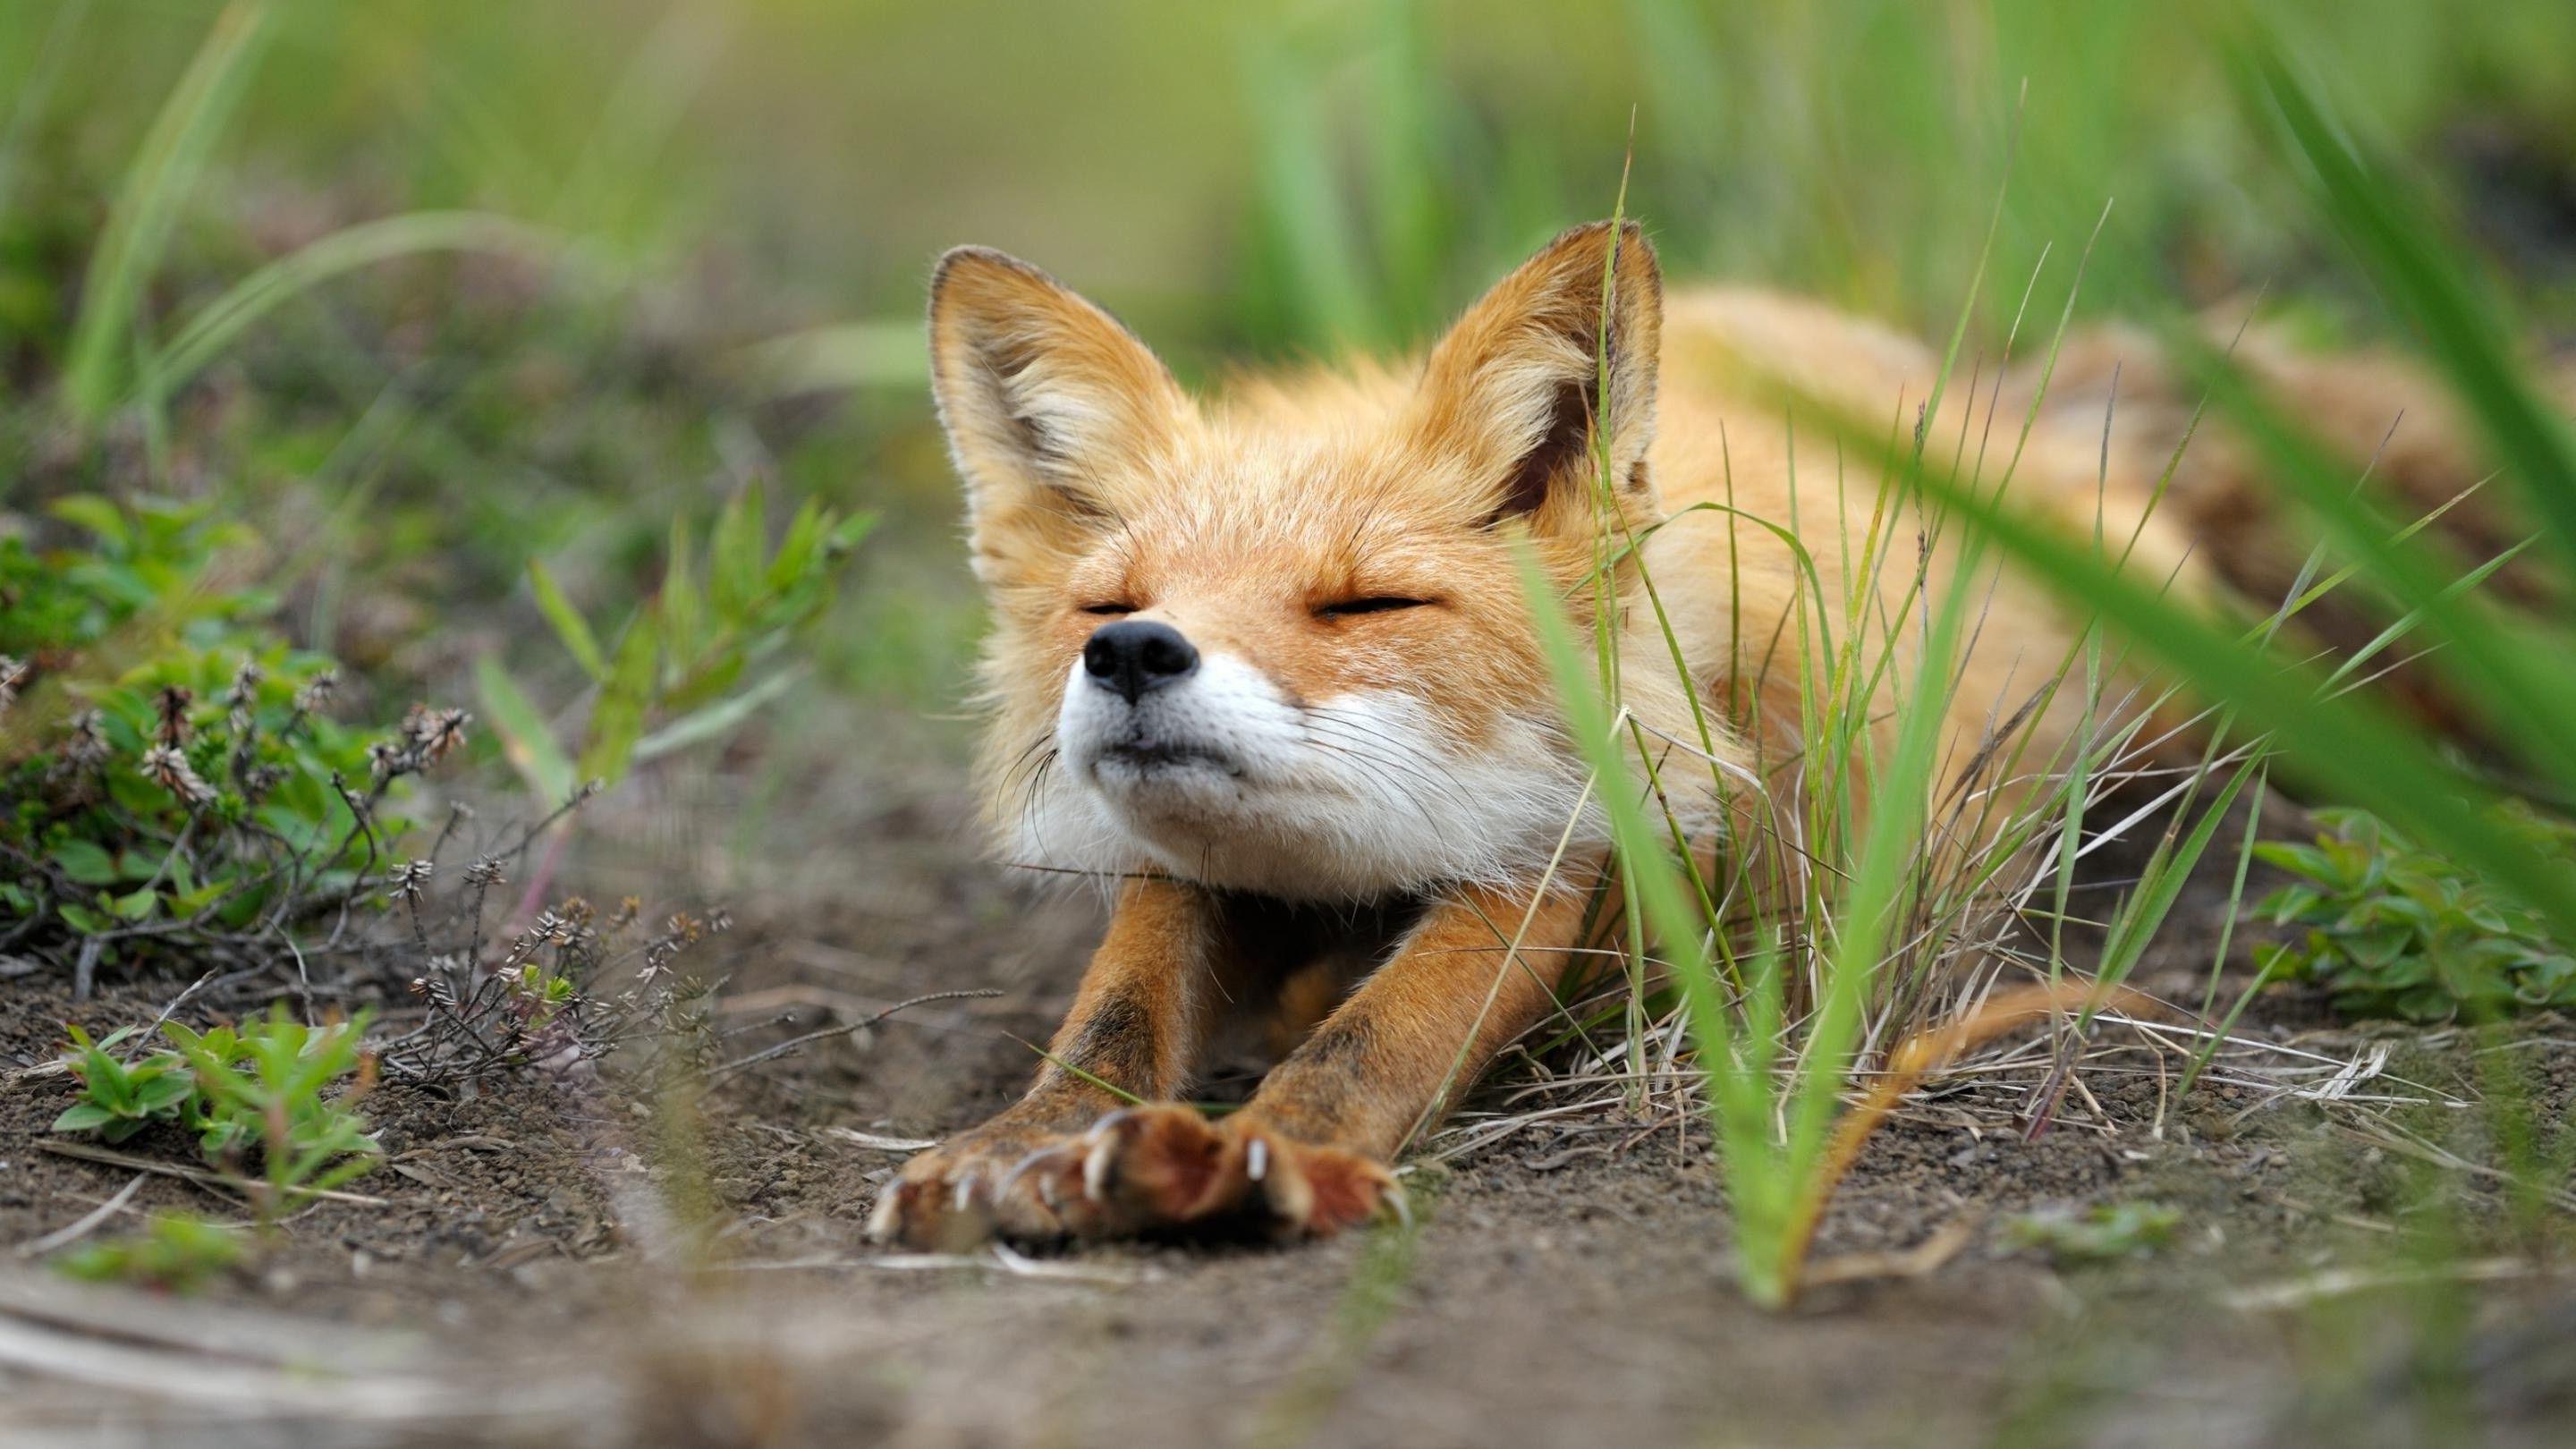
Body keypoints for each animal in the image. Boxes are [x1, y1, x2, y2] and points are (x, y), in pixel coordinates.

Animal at [869, 219, 2524, 1250]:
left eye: (1364, 602)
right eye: (1112, 601)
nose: (1131, 657)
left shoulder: (1590, 836)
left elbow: (1392, 1023)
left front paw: (1271, 1150)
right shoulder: (1196, 872)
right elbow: (1118, 1007)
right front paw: (1027, 1138)